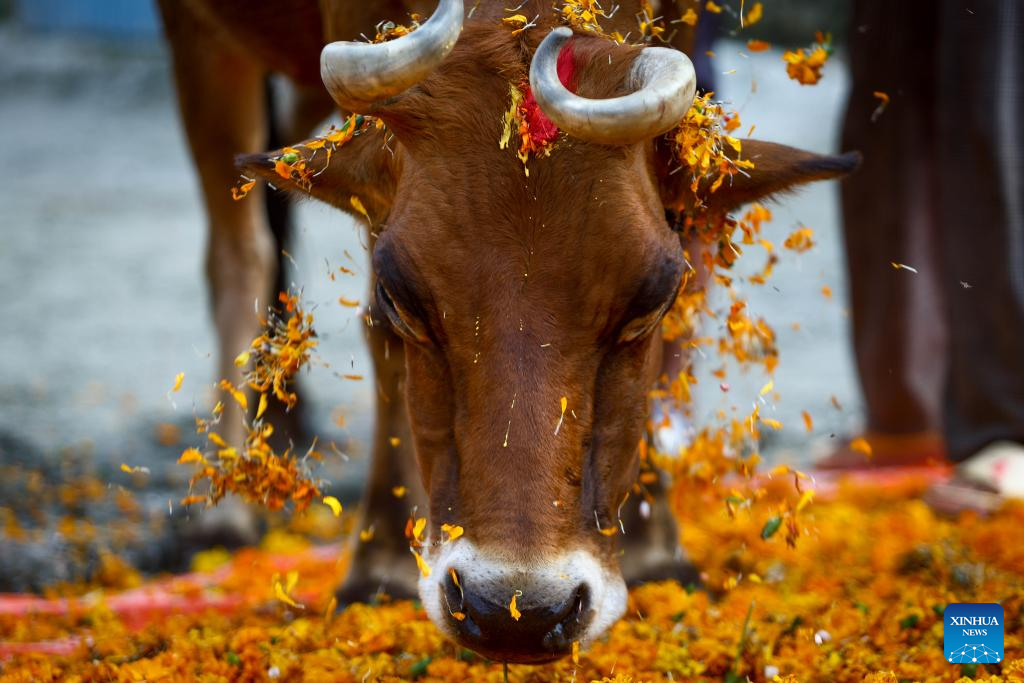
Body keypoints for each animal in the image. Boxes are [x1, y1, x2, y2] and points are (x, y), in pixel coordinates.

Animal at [159, 0, 858, 664]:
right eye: (399, 295)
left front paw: (660, 553)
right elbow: (376, 336)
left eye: (652, 299)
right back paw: (231, 509)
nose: (515, 613)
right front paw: (376, 565)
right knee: (240, 254)